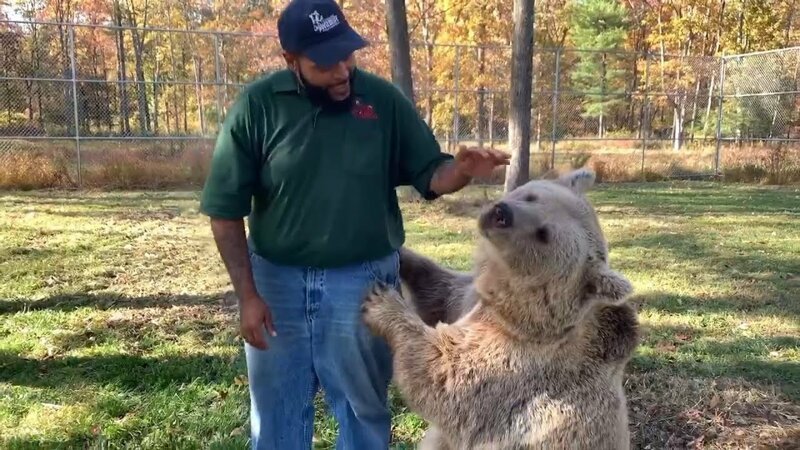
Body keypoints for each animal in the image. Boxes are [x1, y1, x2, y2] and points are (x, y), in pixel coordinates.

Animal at [362, 168, 639, 450]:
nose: (501, 213)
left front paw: (381, 303)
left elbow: (443, 373)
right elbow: (439, 292)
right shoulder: (469, 301)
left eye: (544, 234)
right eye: (531, 195)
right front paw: (404, 254)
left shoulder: (516, 365)